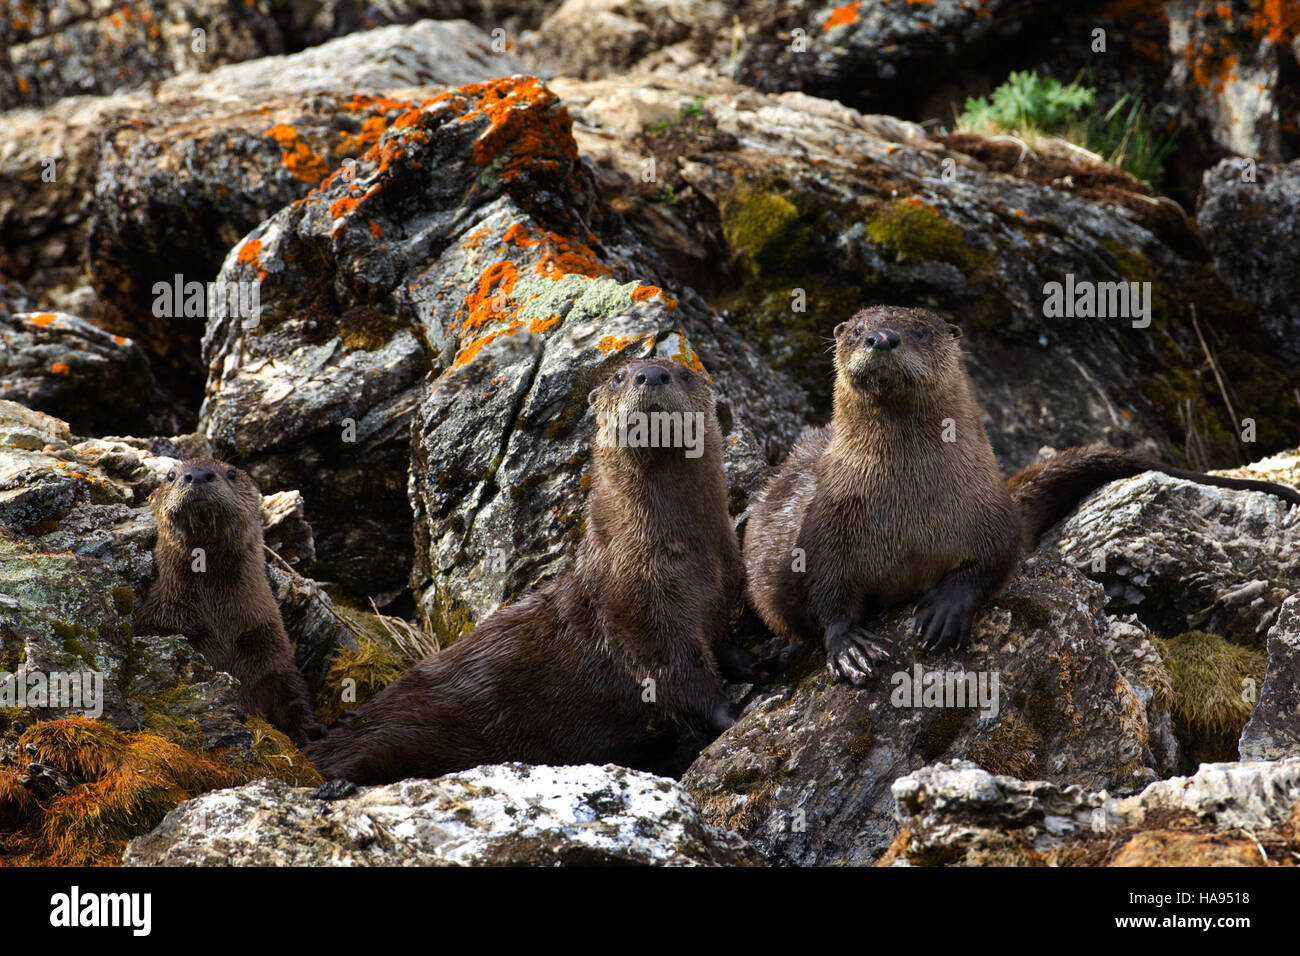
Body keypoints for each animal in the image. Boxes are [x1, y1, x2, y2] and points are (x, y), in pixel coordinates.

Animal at [136, 457, 317, 744]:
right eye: (170, 476)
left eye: (231, 473)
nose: (197, 475)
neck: (221, 626)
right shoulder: (157, 624)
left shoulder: (271, 645)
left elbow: (294, 696)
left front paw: (309, 734)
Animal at [307, 358, 747, 785]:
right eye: (619, 376)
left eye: (685, 374)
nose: (651, 374)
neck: (680, 554)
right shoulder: (640, 615)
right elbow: (682, 682)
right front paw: (734, 714)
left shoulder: (721, 590)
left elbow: (721, 644)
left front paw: (751, 664)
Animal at [744, 305, 1300, 684]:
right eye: (859, 330)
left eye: (919, 330)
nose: (883, 338)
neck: (909, 505)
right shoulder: (827, 522)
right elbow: (827, 591)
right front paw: (849, 647)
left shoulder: (991, 509)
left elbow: (995, 559)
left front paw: (945, 608)